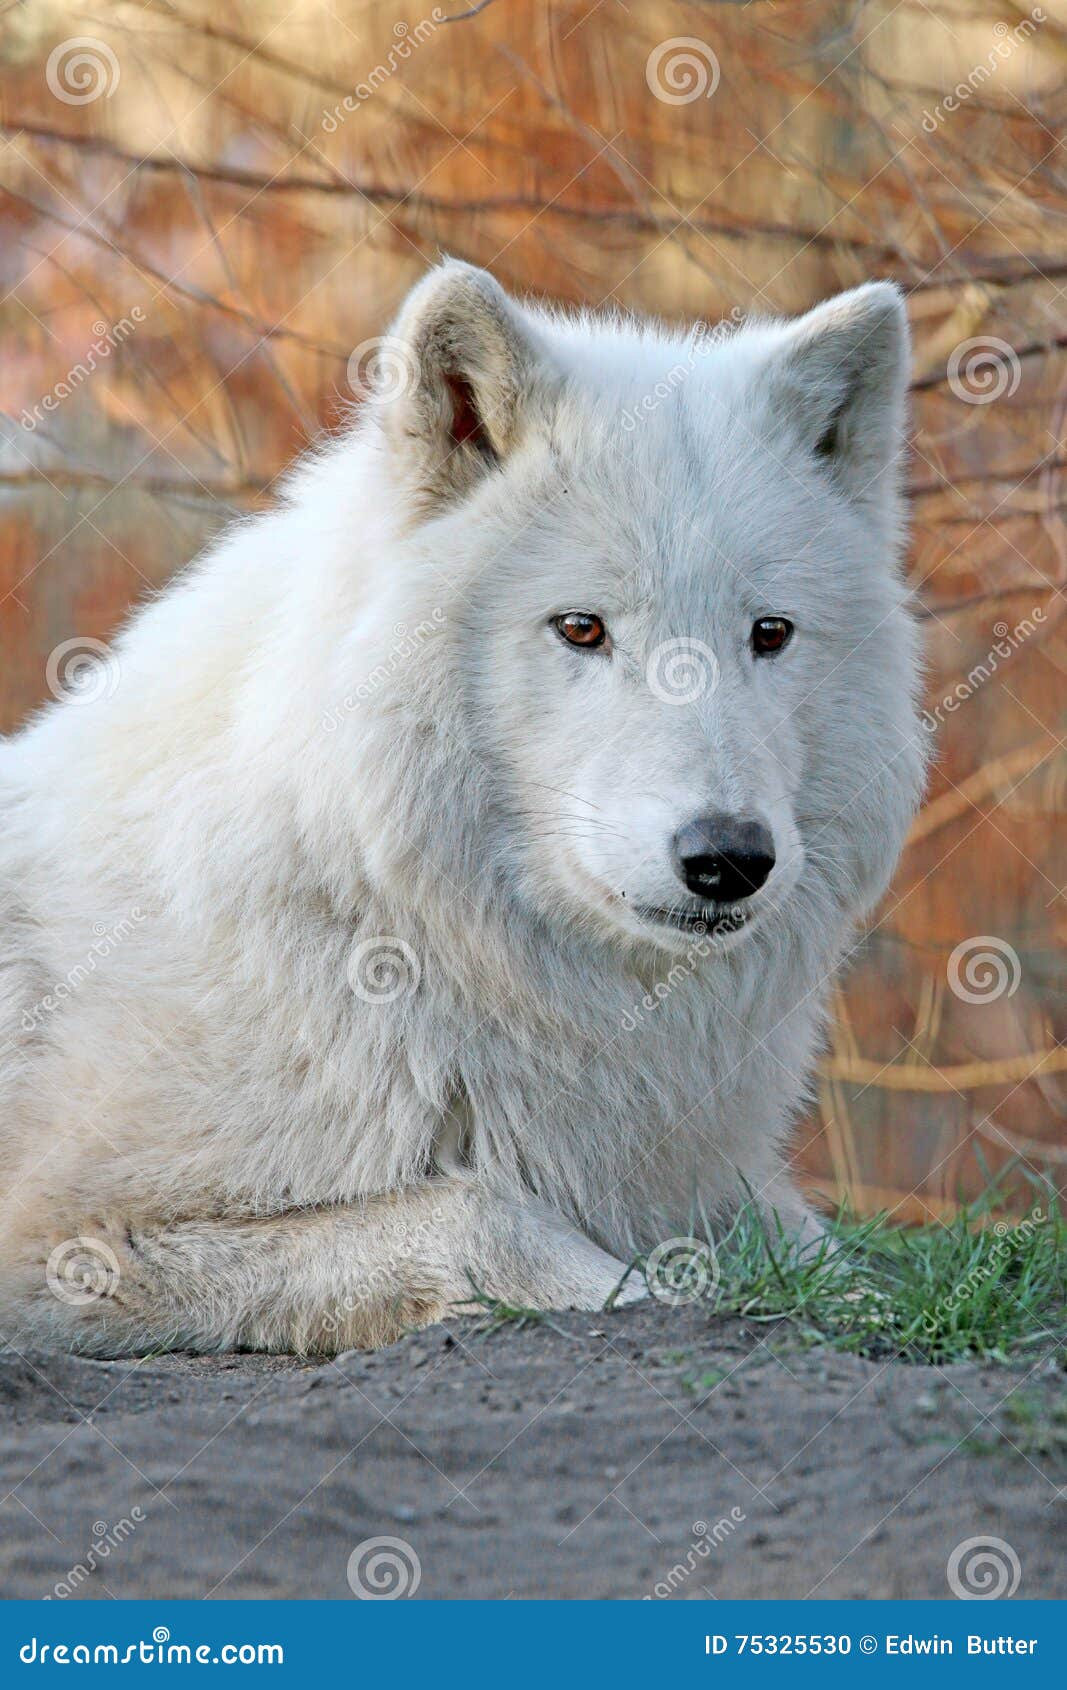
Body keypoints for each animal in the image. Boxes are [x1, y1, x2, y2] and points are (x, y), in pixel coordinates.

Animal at [0, 262, 924, 1355]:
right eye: (581, 628)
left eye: (768, 633)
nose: (728, 857)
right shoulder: (70, 1238)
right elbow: (476, 1210)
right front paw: (644, 1292)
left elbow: (821, 1250)